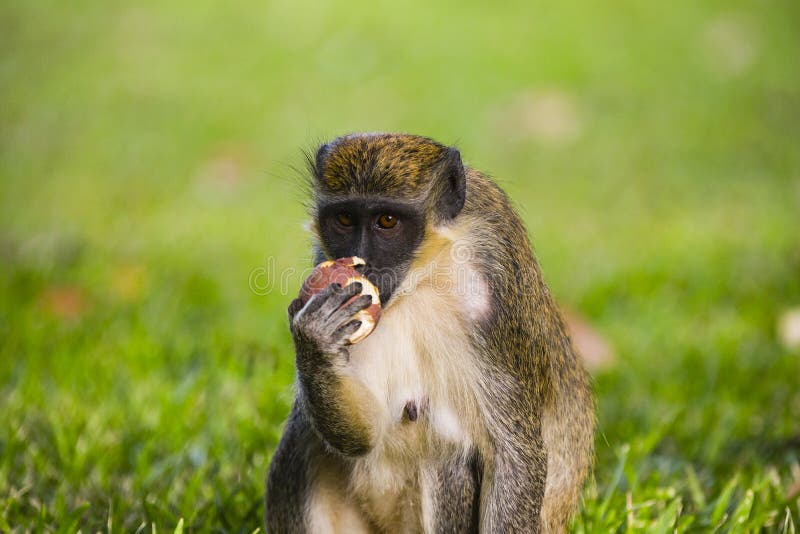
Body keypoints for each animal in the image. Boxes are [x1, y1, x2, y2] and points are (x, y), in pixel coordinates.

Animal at [265, 133, 594, 533]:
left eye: (387, 221)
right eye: (344, 219)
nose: (362, 263)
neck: (424, 274)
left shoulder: (495, 288)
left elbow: (514, 454)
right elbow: (366, 433)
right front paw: (315, 340)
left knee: (448, 455)